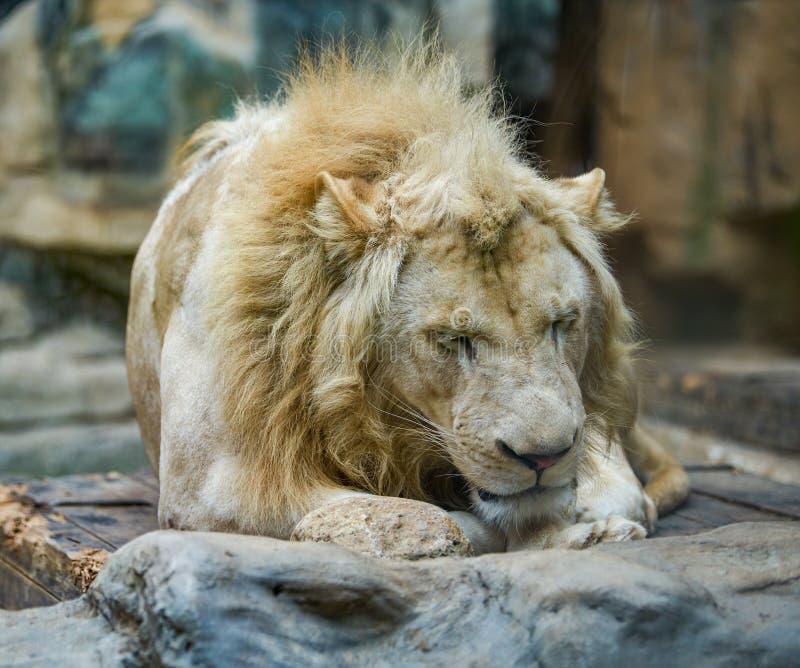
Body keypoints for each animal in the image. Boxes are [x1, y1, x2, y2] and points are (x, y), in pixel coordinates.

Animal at [126, 42, 689, 557]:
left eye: (561, 324)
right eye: (453, 339)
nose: (544, 458)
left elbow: (608, 496)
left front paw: (588, 526)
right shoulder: (208, 484)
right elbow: (417, 520)